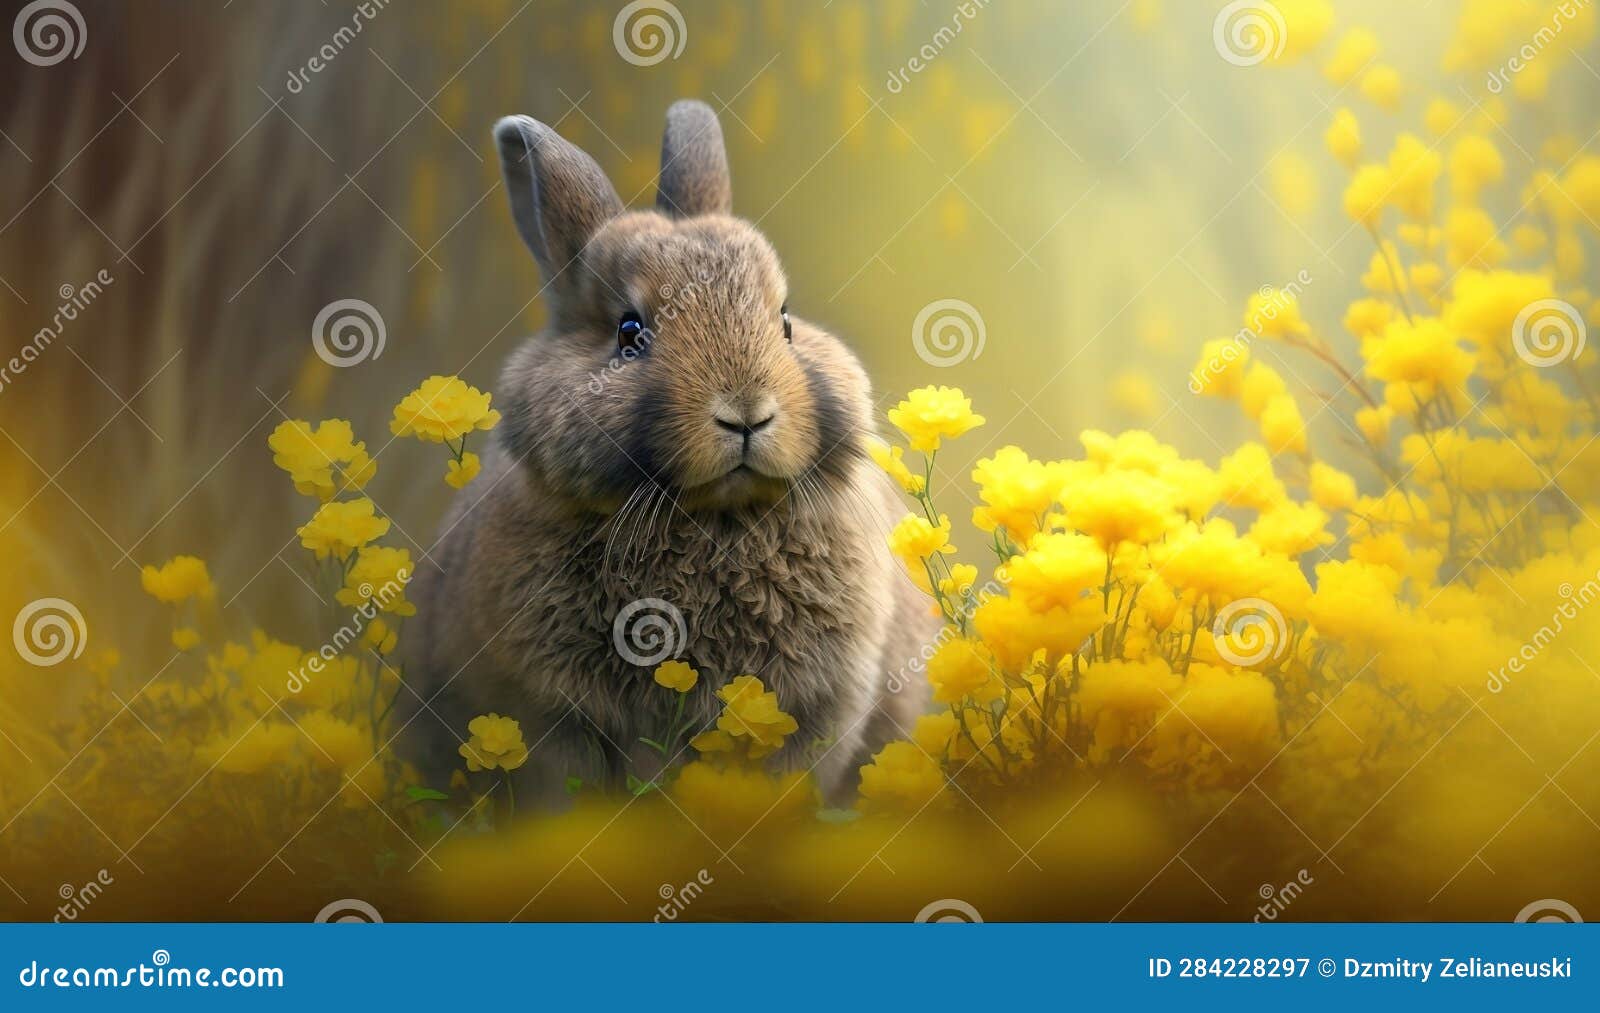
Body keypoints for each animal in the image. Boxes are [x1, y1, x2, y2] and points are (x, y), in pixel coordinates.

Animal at [400, 99, 937, 810]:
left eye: (785, 321)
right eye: (630, 332)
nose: (746, 412)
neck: (713, 516)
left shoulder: (821, 704)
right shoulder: (551, 713)